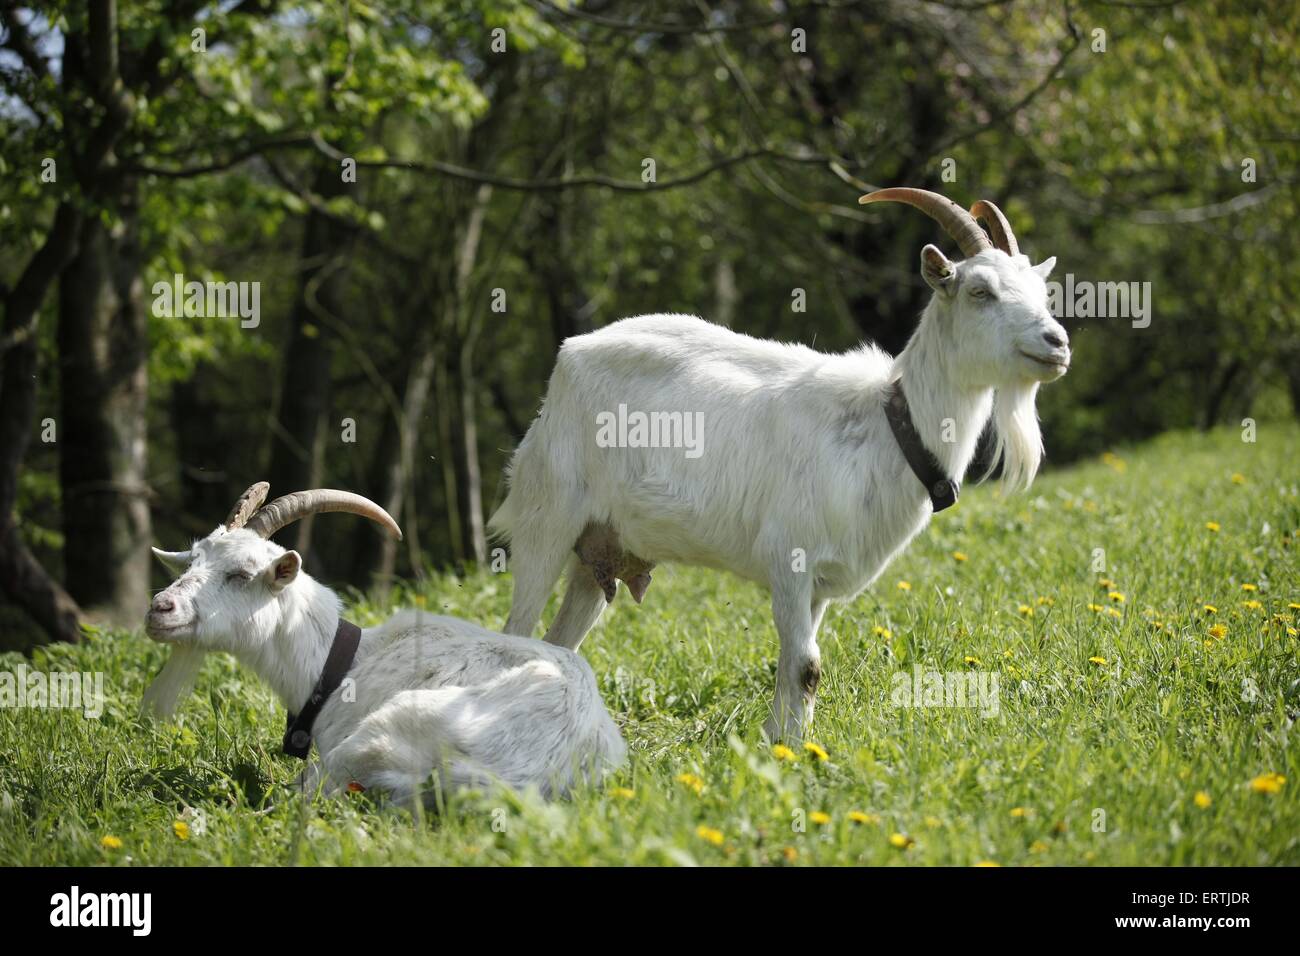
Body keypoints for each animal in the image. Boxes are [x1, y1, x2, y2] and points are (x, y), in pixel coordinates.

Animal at [489, 188, 1070, 742]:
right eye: (980, 291)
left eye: (1042, 292)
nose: (1057, 343)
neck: (886, 425)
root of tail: (566, 362)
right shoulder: (789, 558)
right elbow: (808, 665)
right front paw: (785, 746)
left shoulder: (818, 585)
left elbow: (797, 667)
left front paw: (787, 740)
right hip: (547, 521)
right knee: (516, 633)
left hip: (600, 550)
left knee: (560, 644)